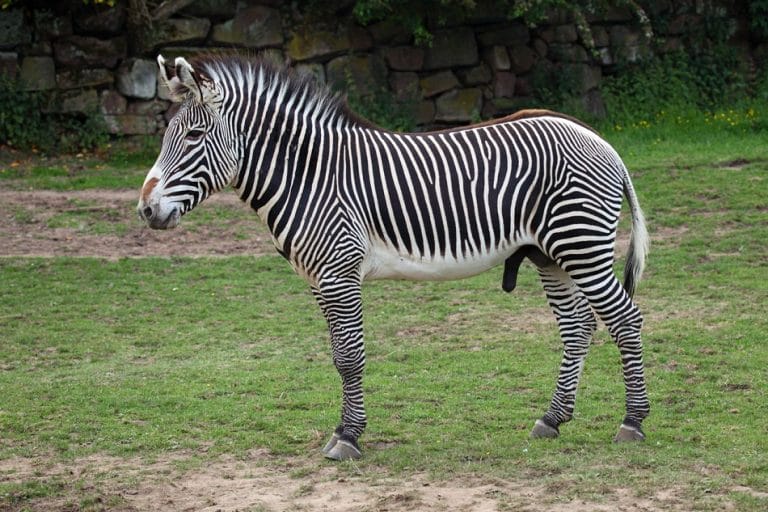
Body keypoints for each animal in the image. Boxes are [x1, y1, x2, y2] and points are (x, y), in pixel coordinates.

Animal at [138, 54, 650, 461]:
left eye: (195, 135)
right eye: (167, 136)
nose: (145, 210)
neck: (307, 175)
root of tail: (601, 141)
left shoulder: (339, 271)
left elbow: (349, 357)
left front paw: (348, 438)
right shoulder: (319, 279)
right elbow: (336, 355)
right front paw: (343, 430)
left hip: (581, 244)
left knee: (625, 319)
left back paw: (633, 423)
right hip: (551, 254)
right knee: (578, 328)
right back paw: (552, 418)